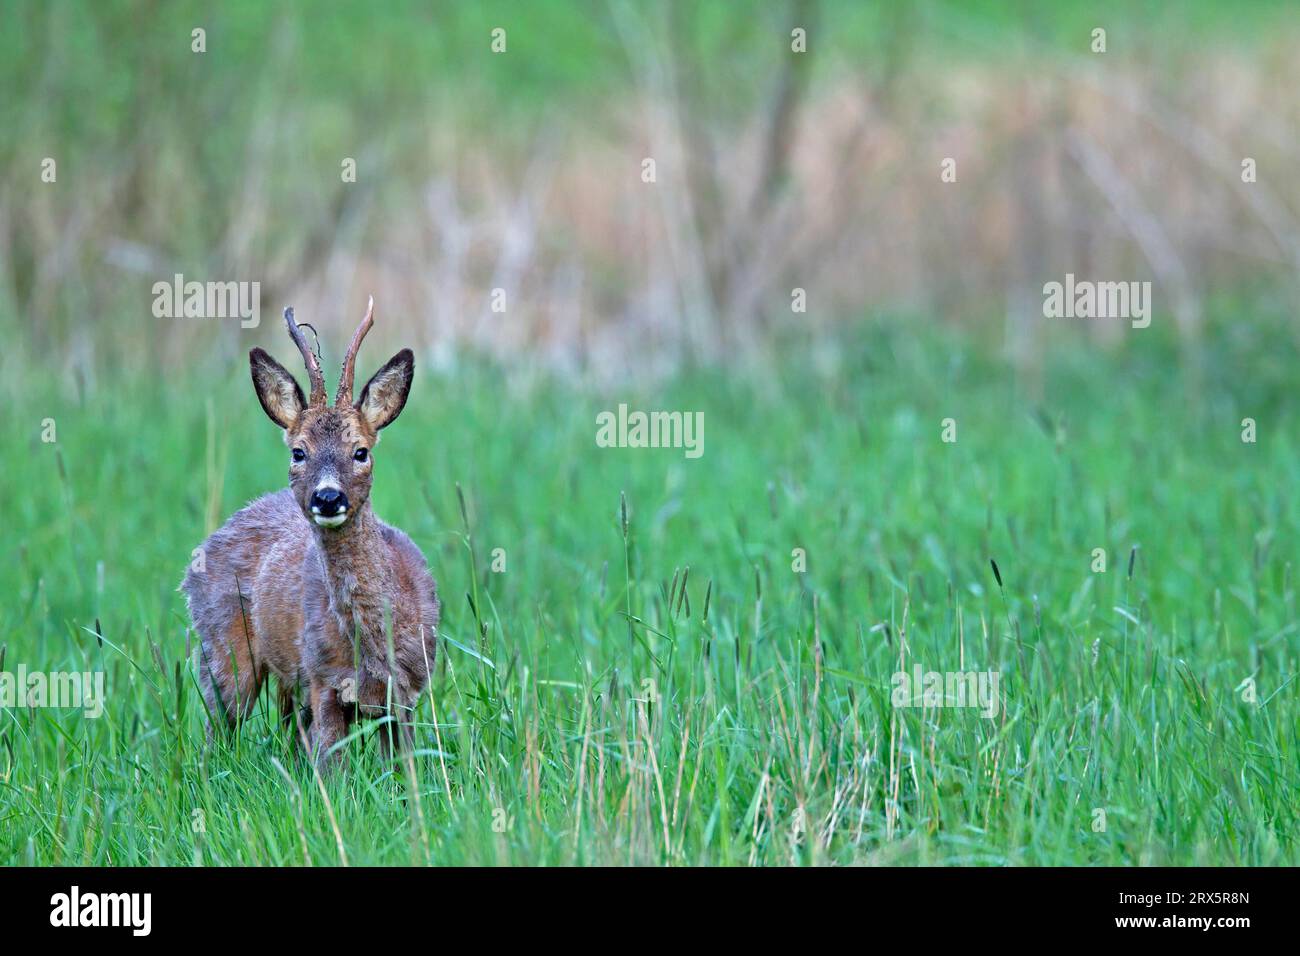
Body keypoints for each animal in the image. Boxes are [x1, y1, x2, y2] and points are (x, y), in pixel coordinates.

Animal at [181, 297, 439, 766]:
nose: (328, 497)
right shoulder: (323, 680)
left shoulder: (407, 691)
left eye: (361, 451)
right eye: (299, 452)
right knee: (216, 732)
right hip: (222, 650)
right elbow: (329, 770)